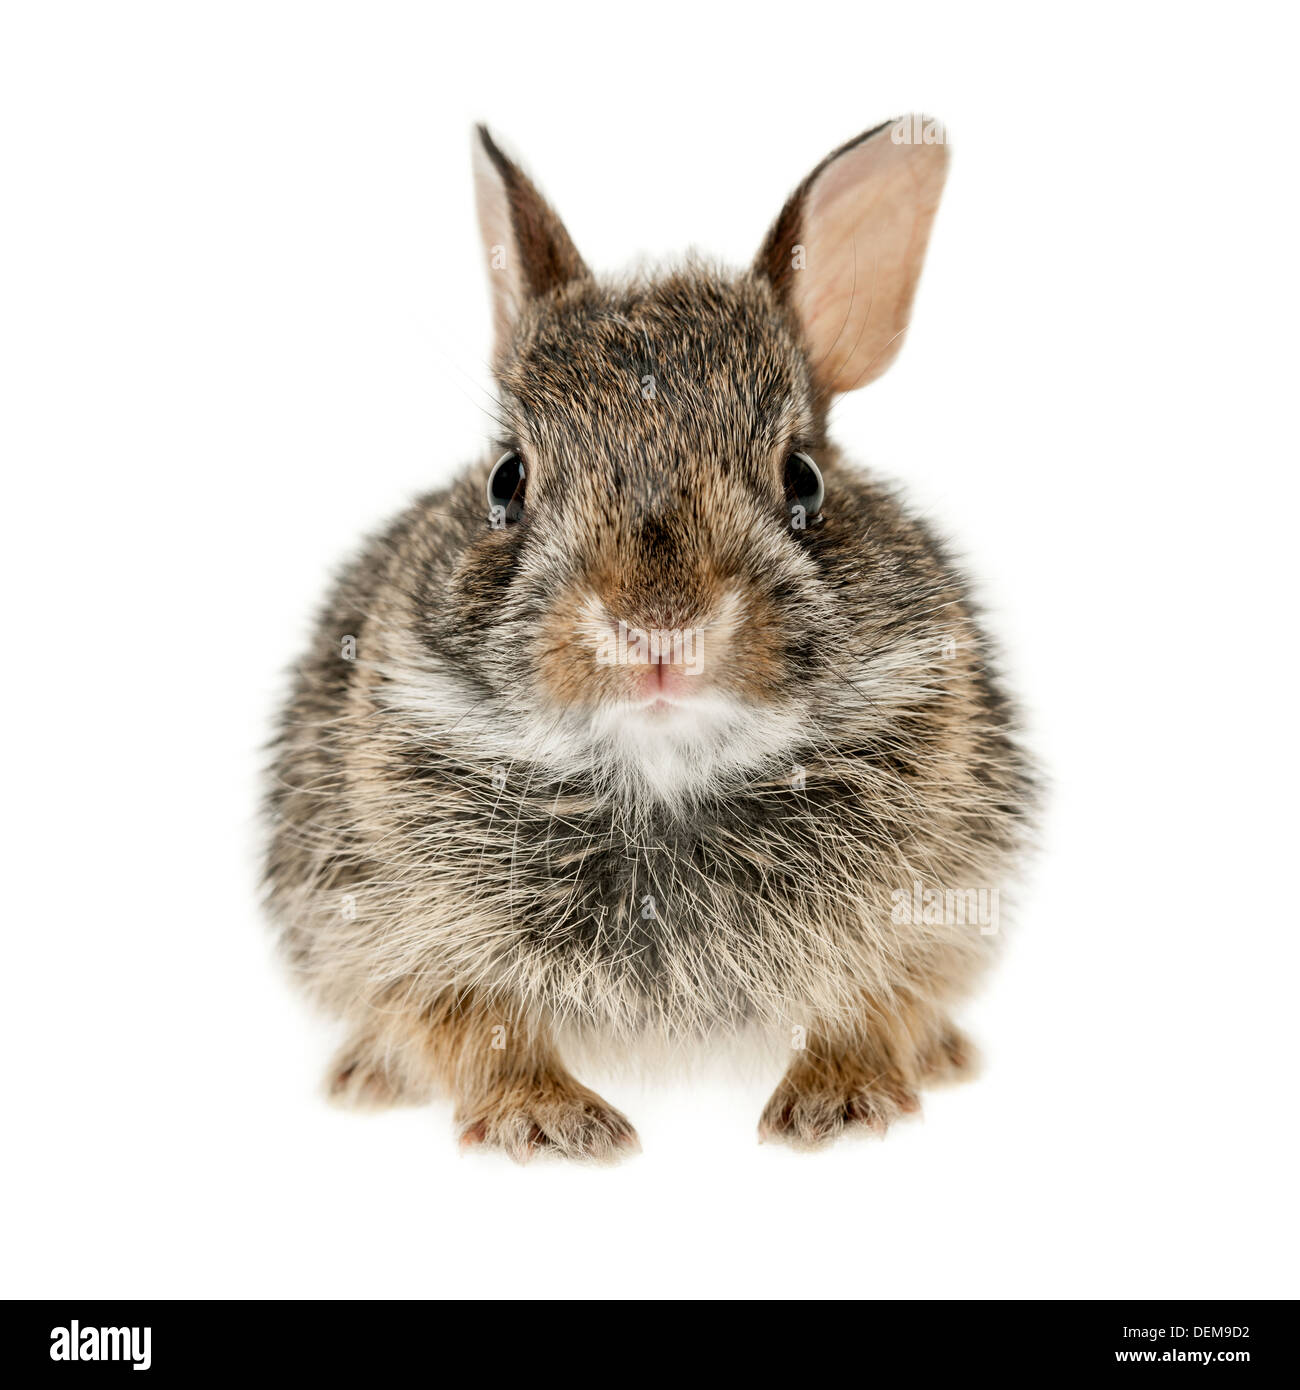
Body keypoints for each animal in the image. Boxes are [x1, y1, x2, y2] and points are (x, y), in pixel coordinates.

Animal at [263, 116, 1035, 1161]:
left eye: (803, 481)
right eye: (507, 480)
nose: (657, 629)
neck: (659, 772)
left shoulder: (922, 913)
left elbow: (870, 1007)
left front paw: (839, 1106)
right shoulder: (411, 932)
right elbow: (473, 1029)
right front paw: (551, 1123)